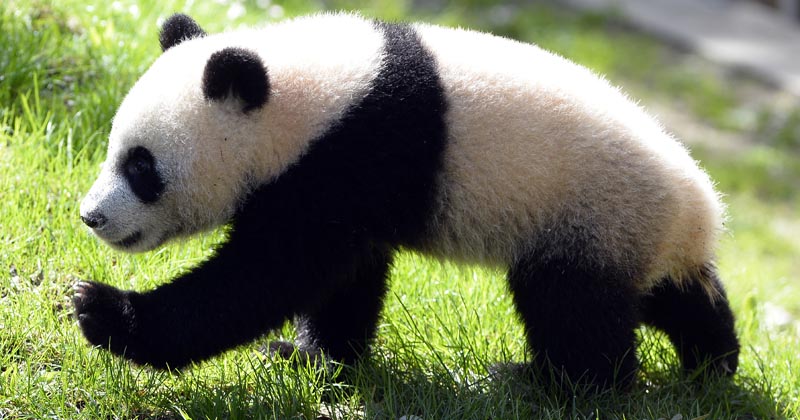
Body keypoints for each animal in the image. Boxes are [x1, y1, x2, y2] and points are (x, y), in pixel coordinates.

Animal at [74, 12, 739, 390]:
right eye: (114, 150)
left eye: (142, 167)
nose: (91, 216)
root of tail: (704, 210)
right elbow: (345, 276)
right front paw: (311, 357)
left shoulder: (356, 149)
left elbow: (268, 275)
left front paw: (104, 310)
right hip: (632, 232)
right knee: (670, 293)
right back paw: (713, 361)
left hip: (588, 212)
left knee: (573, 308)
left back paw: (554, 385)